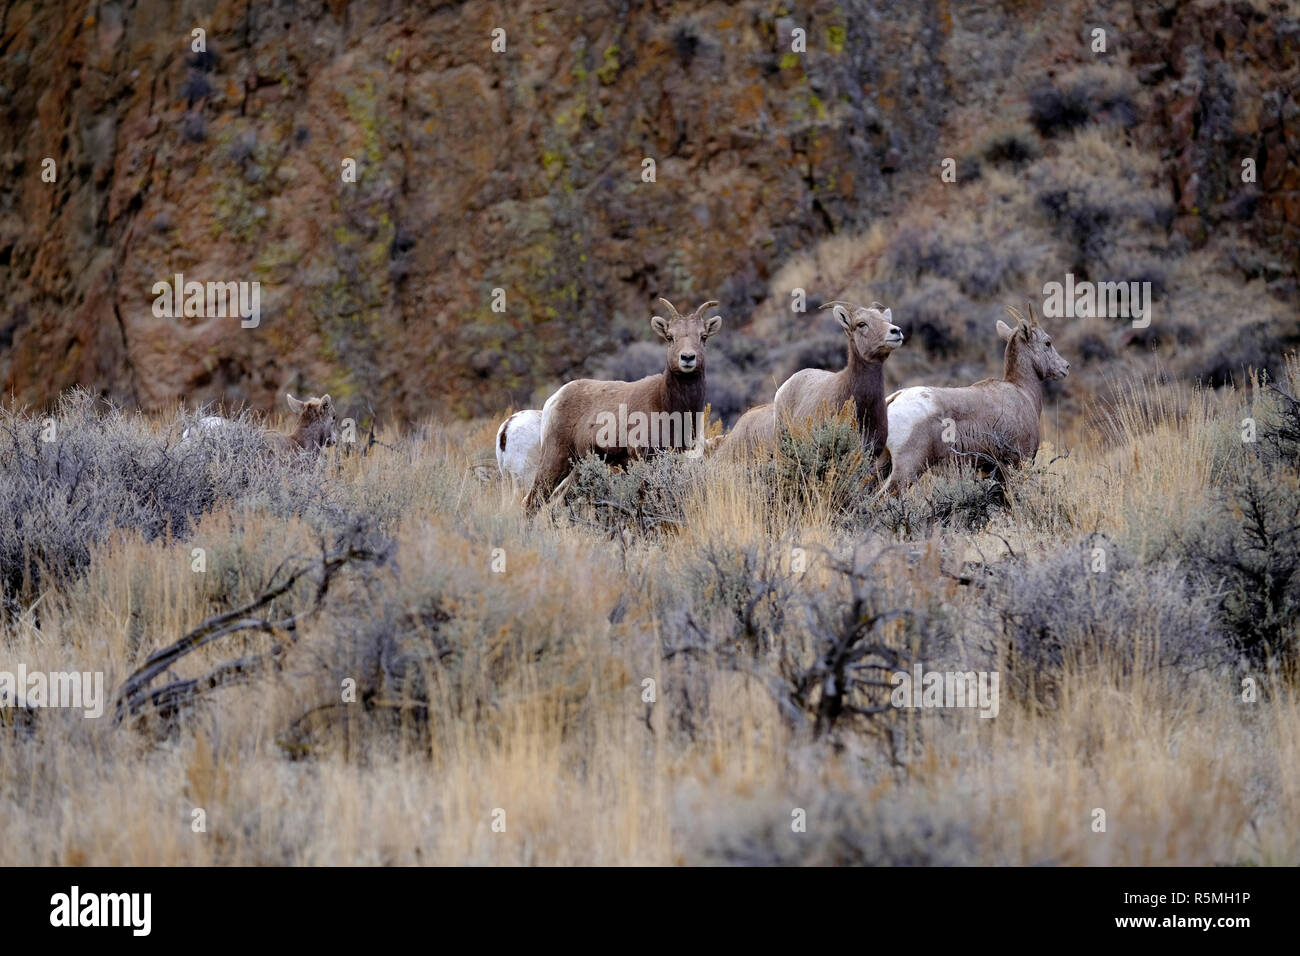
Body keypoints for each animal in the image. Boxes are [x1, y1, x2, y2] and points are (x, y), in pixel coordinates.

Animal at [524, 297, 722, 512]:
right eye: (670, 337)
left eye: (703, 336)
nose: (687, 358)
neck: (668, 408)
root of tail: (554, 399)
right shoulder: (643, 460)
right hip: (554, 460)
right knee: (531, 502)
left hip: (578, 468)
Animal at [882, 303, 1070, 490]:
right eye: (1047, 342)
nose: (1065, 367)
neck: (1022, 391)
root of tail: (895, 399)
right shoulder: (1018, 463)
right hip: (905, 472)